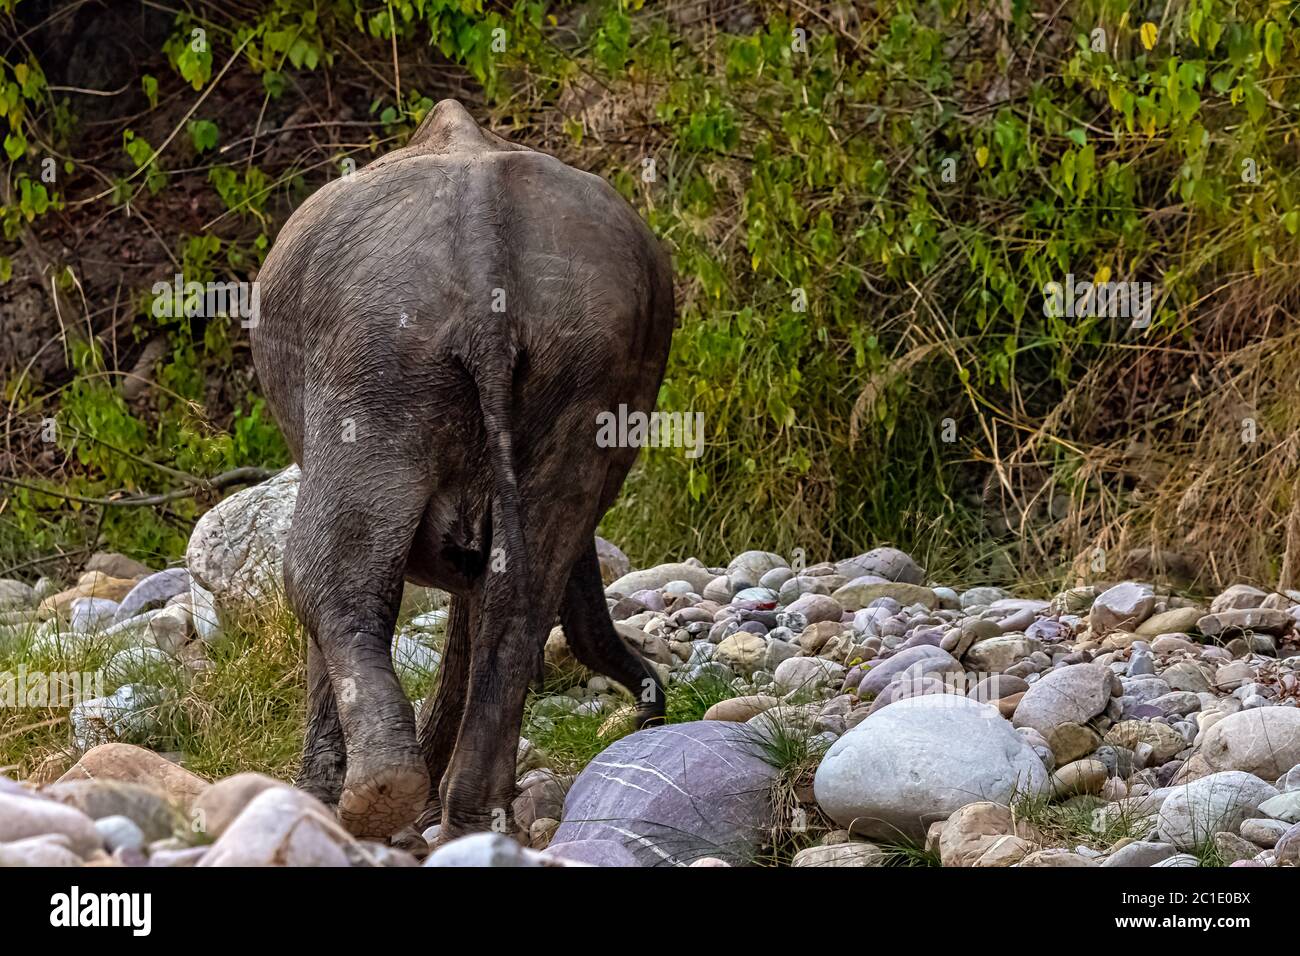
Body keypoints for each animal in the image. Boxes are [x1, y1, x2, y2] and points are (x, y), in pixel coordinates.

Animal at [250, 98, 675, 844]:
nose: (647, 710)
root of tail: (486, 268)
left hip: (373, 364)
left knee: (322, 572)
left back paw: (379, 799)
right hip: (583, 365)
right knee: (521, 584)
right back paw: (469, 818)